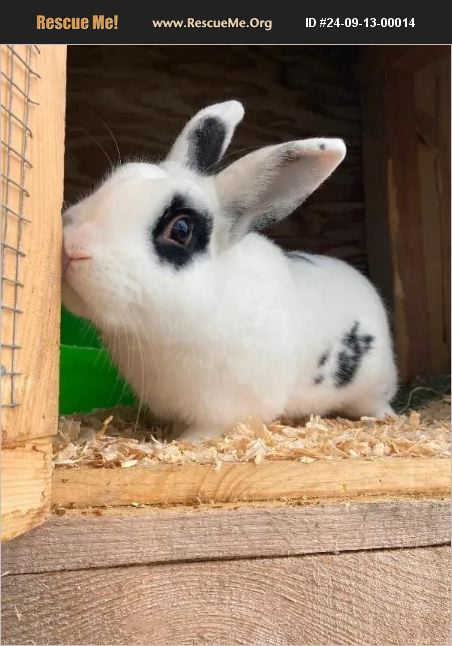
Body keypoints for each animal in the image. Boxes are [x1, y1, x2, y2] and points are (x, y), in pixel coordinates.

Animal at [62, 100, 398, 442]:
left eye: (181, 230)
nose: (72, 246)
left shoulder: (223, 410)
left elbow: (204, 431)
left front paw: (184, 443)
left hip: (373, 384)